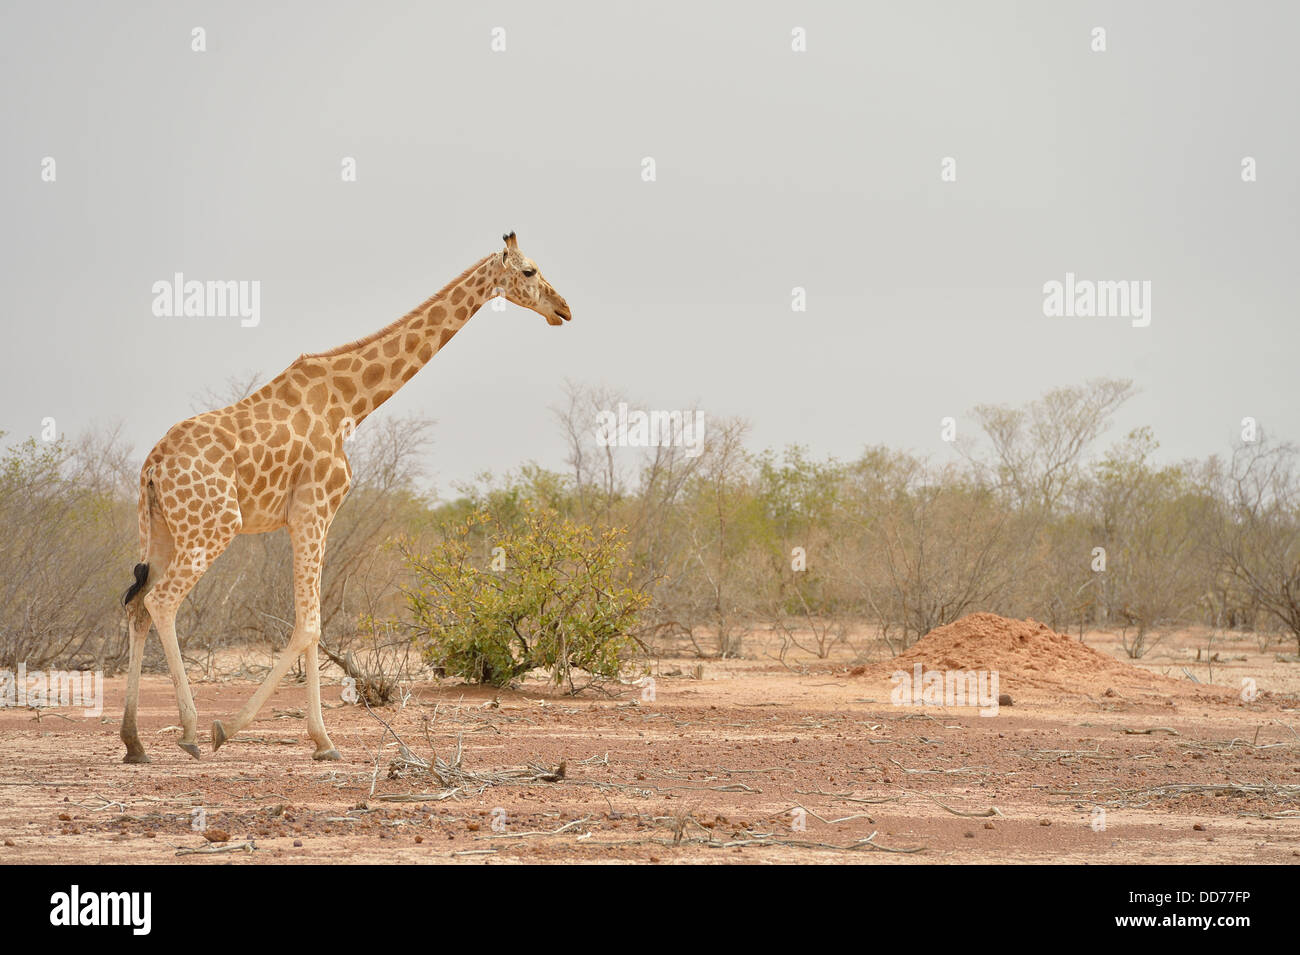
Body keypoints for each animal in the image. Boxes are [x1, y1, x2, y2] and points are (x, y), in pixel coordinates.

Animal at [118, 232, 570, 763]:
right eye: (529, 271)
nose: (563, 309)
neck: (349, 403)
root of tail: (152, 465)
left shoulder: (307, 516)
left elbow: (310, 622)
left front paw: (321, 742)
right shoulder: (315, 509)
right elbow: (310, 624)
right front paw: (241, 729)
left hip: (164, 529)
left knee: (136, 603)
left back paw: (134, 741)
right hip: (214, 524)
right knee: (162, 601)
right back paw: (188, 730)